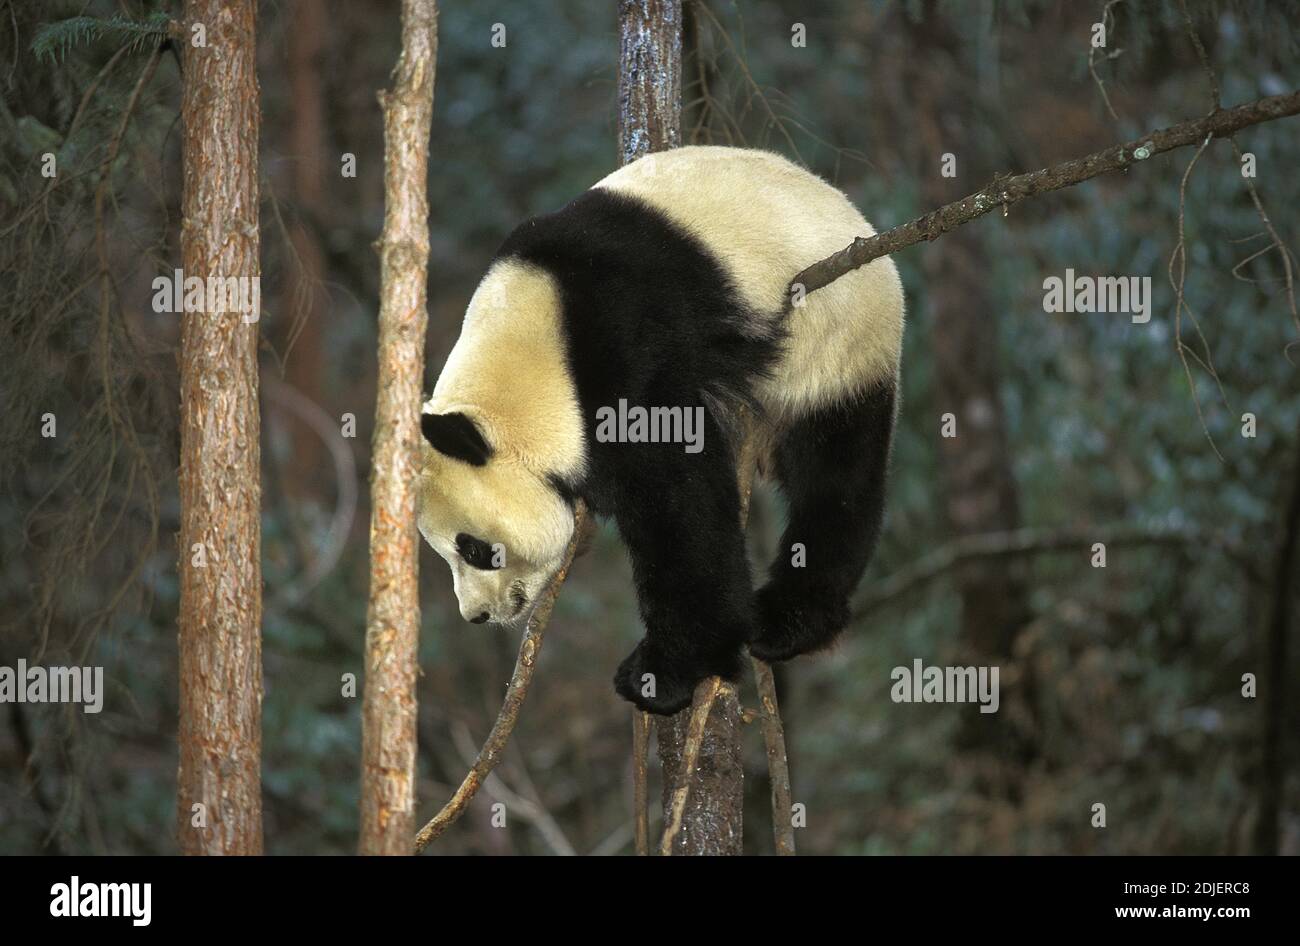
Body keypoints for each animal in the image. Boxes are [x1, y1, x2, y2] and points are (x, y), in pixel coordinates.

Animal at [417, 145, 903, 715]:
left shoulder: (632, 348)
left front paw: (661, 673)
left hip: (837, 338)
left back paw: (788, 621)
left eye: (473, 548)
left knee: (835, 470)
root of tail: (860, 223)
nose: (477, 614)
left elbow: (680, 505)